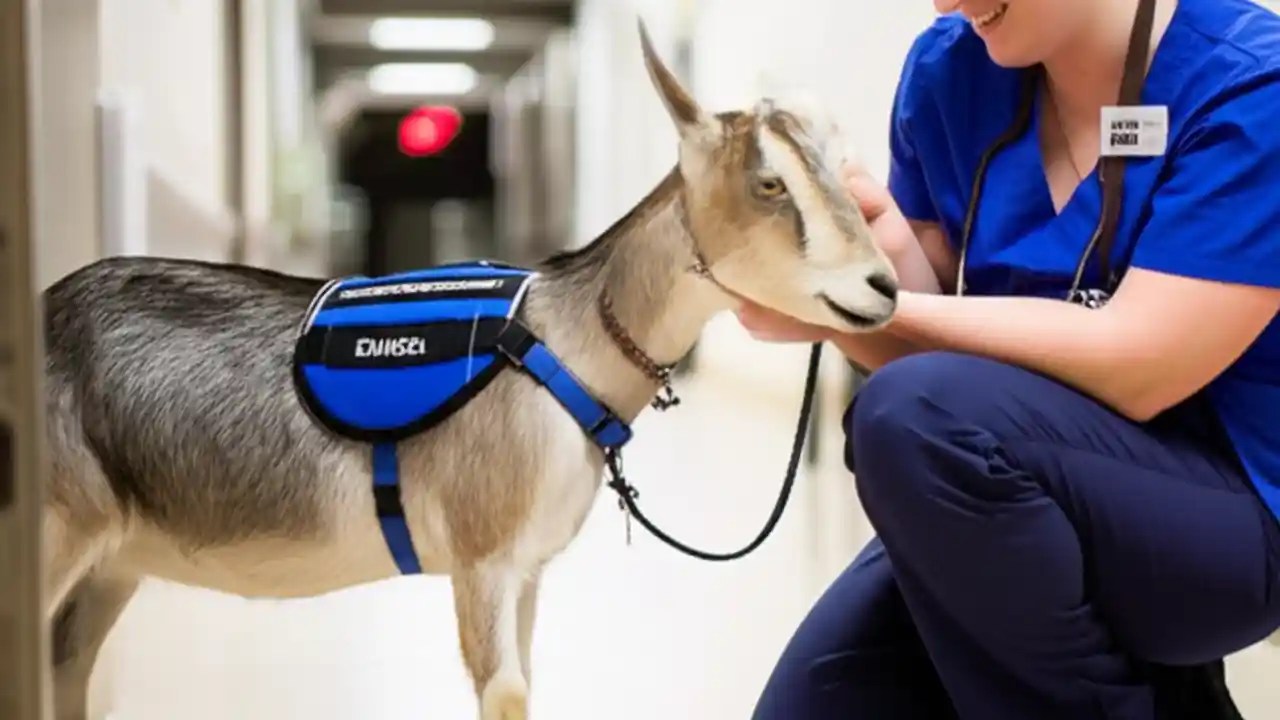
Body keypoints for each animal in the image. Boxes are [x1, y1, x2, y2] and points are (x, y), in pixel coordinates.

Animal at [39, 21, 899, 720]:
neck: (562, 343)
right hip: (58, 530)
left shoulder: (526, 570)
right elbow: (507, 694)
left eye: (842, 171)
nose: (884, 286)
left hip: (111, 565)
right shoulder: (480, 556)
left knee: (65, 666)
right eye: (770, 182)